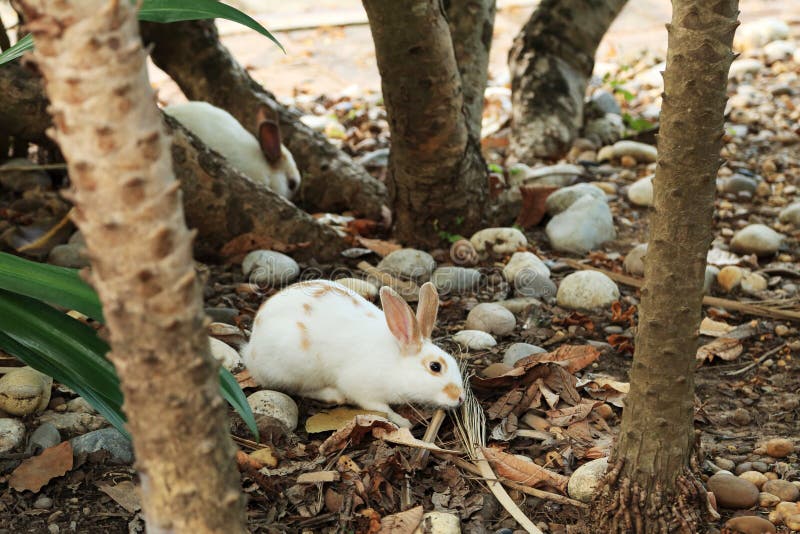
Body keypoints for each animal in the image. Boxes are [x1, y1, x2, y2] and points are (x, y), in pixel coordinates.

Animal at [241, 279, 465, 427]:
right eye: (435, 367)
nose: (460, 398)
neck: (396, 361)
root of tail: (251, 349)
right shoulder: (362, 390)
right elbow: (382, 409)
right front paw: (404, 422)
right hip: (298, 369)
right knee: (298, 389)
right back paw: (334, 395)